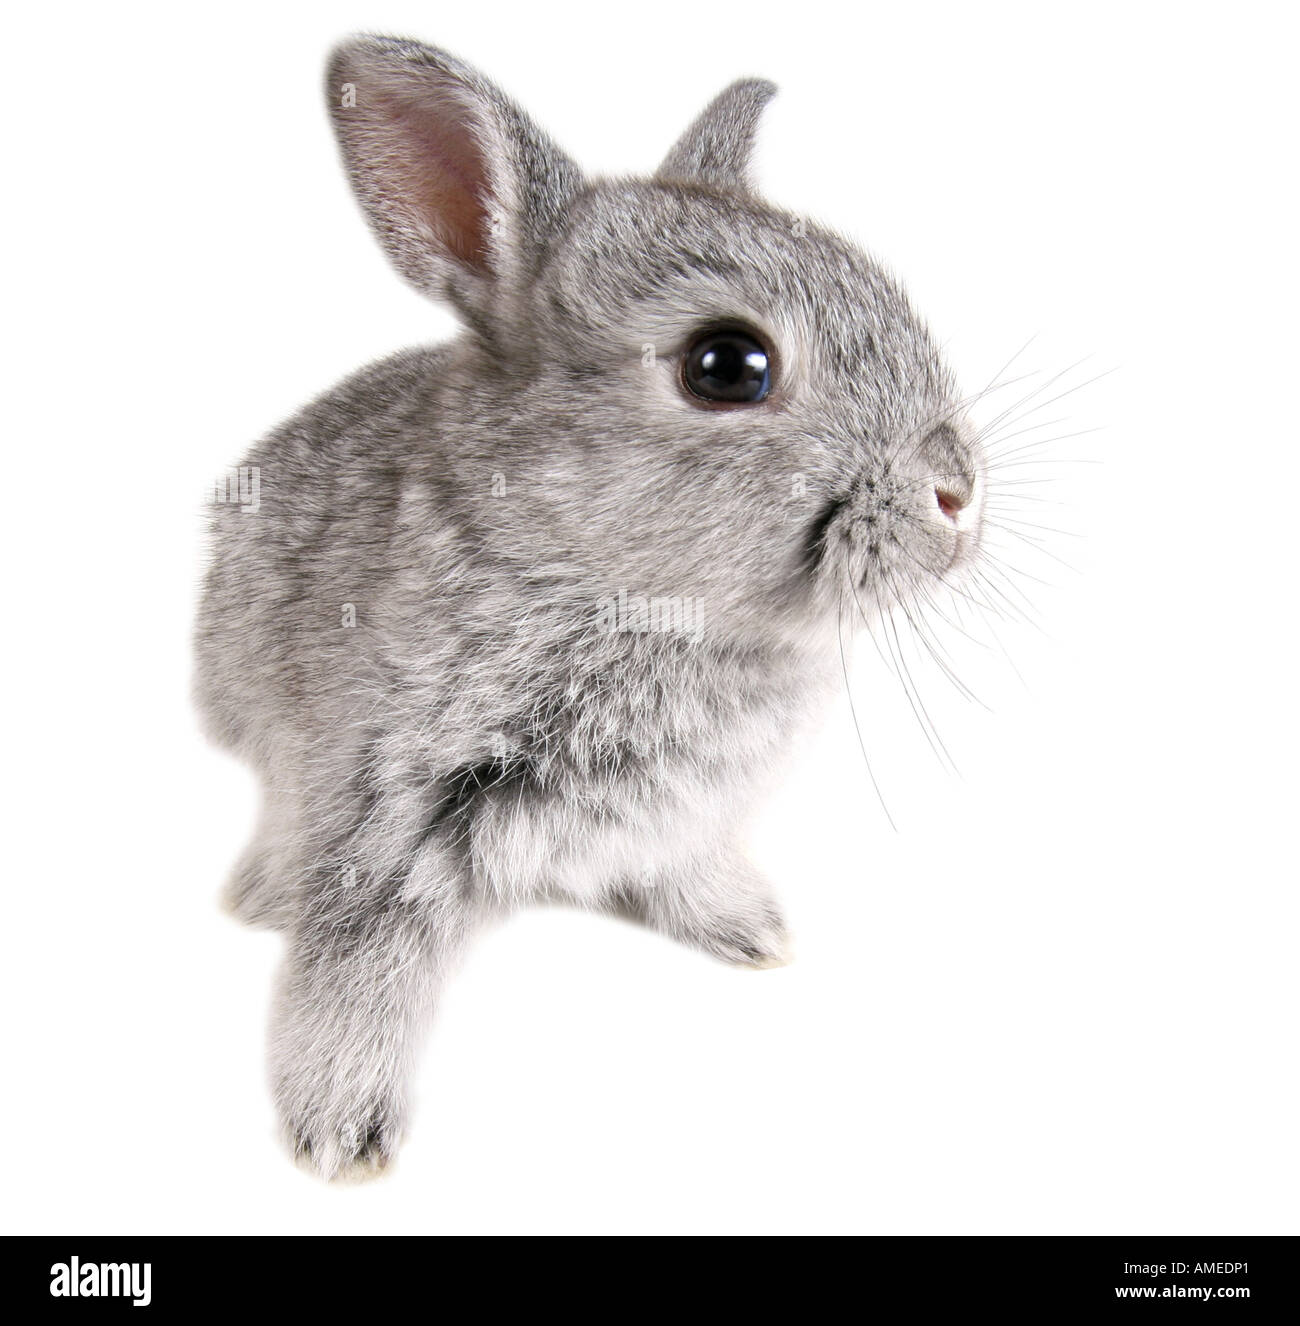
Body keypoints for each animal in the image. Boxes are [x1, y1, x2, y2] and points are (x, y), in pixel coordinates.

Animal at [194, 34, 987, 1179]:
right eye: (727, 365)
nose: (958, 497)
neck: (616, 594)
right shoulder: (385, 818)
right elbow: (355, 977)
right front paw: (341, 1134)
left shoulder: (683, 818)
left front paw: (750, 931)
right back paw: (262, 893)